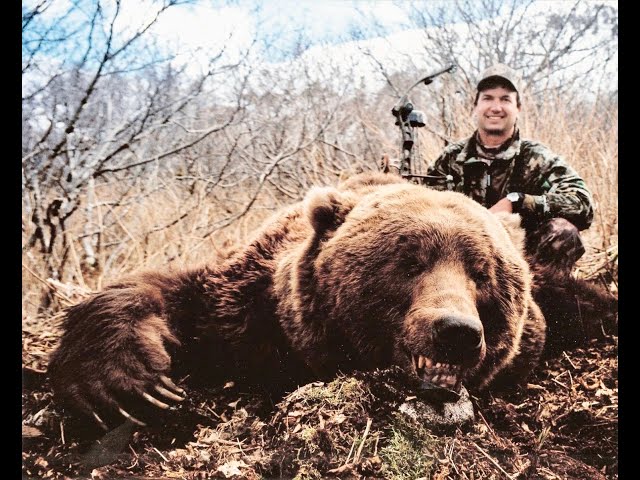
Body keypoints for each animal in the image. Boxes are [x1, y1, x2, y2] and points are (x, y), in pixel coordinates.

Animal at [48, 171, 548, 430]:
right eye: (409, 262)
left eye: (481, 273)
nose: (456, 331)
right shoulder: (245, 300)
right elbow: (170, 292)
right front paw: (127, 384)